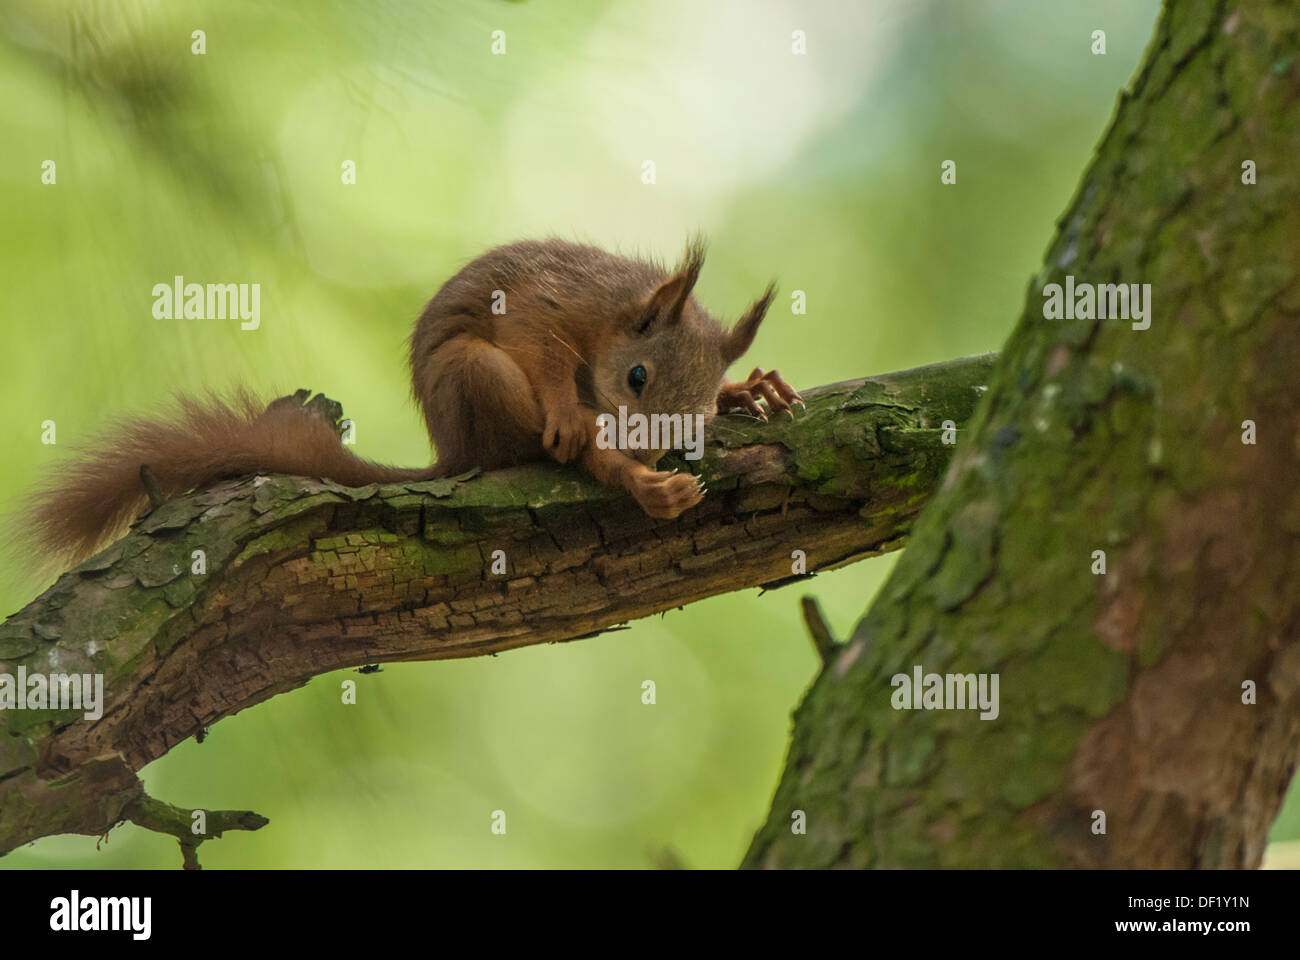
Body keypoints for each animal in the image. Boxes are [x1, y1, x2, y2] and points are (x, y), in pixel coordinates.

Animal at [21, 236, 802, 571]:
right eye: (637, 378)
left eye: (694, 421)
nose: (649, 448)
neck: (611, 310)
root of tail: (450, 452)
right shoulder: (543, 305)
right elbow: (546, 360)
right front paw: (574, 414)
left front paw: (745, 389)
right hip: (476, 374)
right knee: (547, 453)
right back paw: (620, 471)